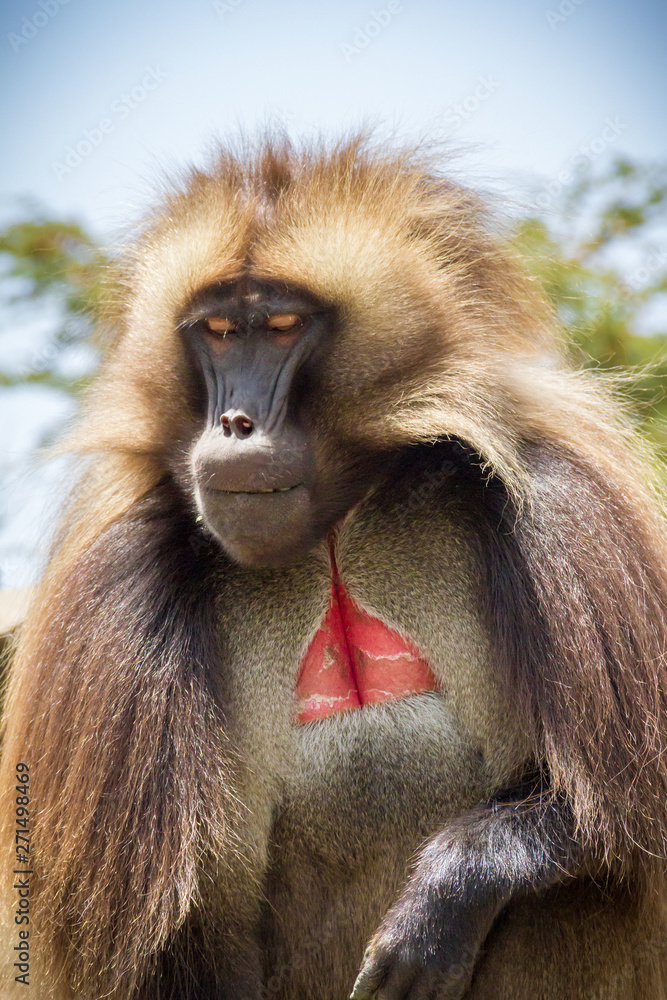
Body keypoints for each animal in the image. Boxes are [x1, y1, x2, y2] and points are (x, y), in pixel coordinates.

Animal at [1, 133, 667, 1000]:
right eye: (218, 332)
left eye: (283, 326)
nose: (235, 424)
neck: (330, 534)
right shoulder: (116, 595)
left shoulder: (562, 503)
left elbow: (622, 819)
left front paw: (442, 900)